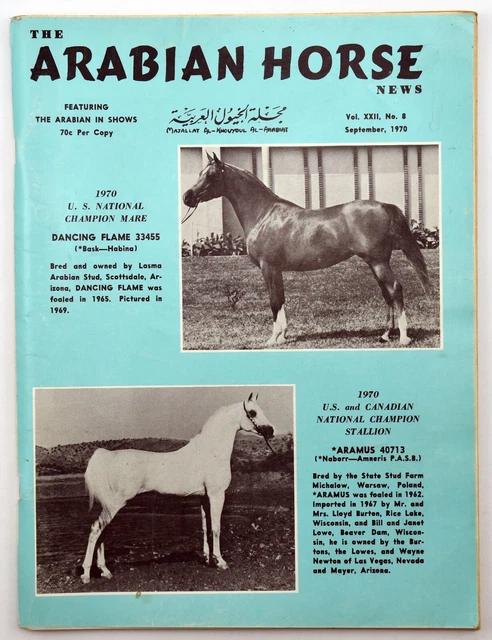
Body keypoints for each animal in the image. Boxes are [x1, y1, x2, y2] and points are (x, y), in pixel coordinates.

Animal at [80, 393, 275, 584]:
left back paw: (105, 571)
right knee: (96, 529)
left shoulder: (204, 497)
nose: (271, 431)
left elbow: (205, 527)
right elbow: (216, 528)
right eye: (253, 412)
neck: (211, 451)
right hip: (115, 503)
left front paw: (207, 558)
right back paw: (86, 574)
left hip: (110, 505)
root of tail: (108, 456)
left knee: (102, 532)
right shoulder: (217, 495)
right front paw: (220, 561)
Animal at [182, 153, 431, 347]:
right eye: (200, 173)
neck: (264, 214)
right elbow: (281, 300)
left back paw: (404, 337)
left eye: (212, 175)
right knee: (387, 293)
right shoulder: (276, 270)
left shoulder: (268, 268)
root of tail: (384, 206)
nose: (187, 197)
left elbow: (274, 302)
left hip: (378, 262)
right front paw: (283, 336)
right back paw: (385, 335)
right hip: (376, 262)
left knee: (395, 289)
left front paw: (272, 339)